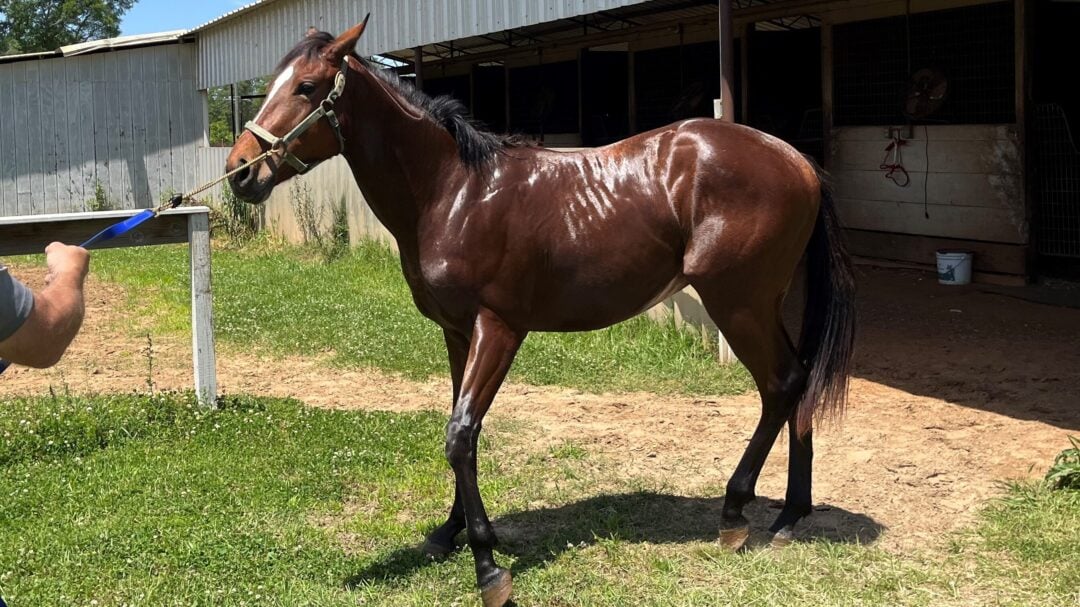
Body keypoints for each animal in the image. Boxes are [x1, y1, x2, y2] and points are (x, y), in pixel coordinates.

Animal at [225, 17, 856, 607]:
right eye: (271, 85)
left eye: (307, 87)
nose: (240, 171)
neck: (454, 191)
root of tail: (796, 160)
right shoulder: (458, 332)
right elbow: (459, 430)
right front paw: (450, 532)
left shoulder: (499, 330)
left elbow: (460, 434)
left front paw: (488, 568)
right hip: (760, 302)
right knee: (798, 382)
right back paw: (789, 517)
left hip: (738, 302)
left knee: (782, 383)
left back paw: (734, 514)